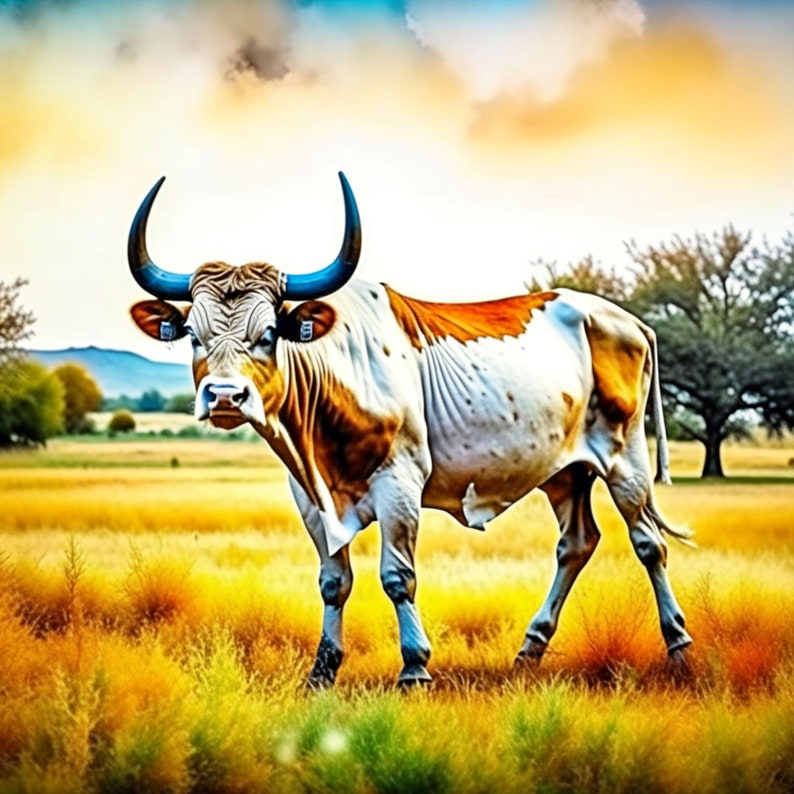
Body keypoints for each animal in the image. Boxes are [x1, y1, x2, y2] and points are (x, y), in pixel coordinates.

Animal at [126, 172, 692, 687]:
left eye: (268, 333)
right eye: (192, 335)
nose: (224, 396)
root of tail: (622, 319)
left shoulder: (399, 484)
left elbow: (398, 577)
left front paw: (415, 667)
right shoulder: (311, 497)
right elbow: (333, 581)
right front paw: (322, 670)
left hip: (624, 458)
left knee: (648, 543)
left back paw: (679, 646)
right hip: (565, 473)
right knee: (576, 544)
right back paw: (530, 649)